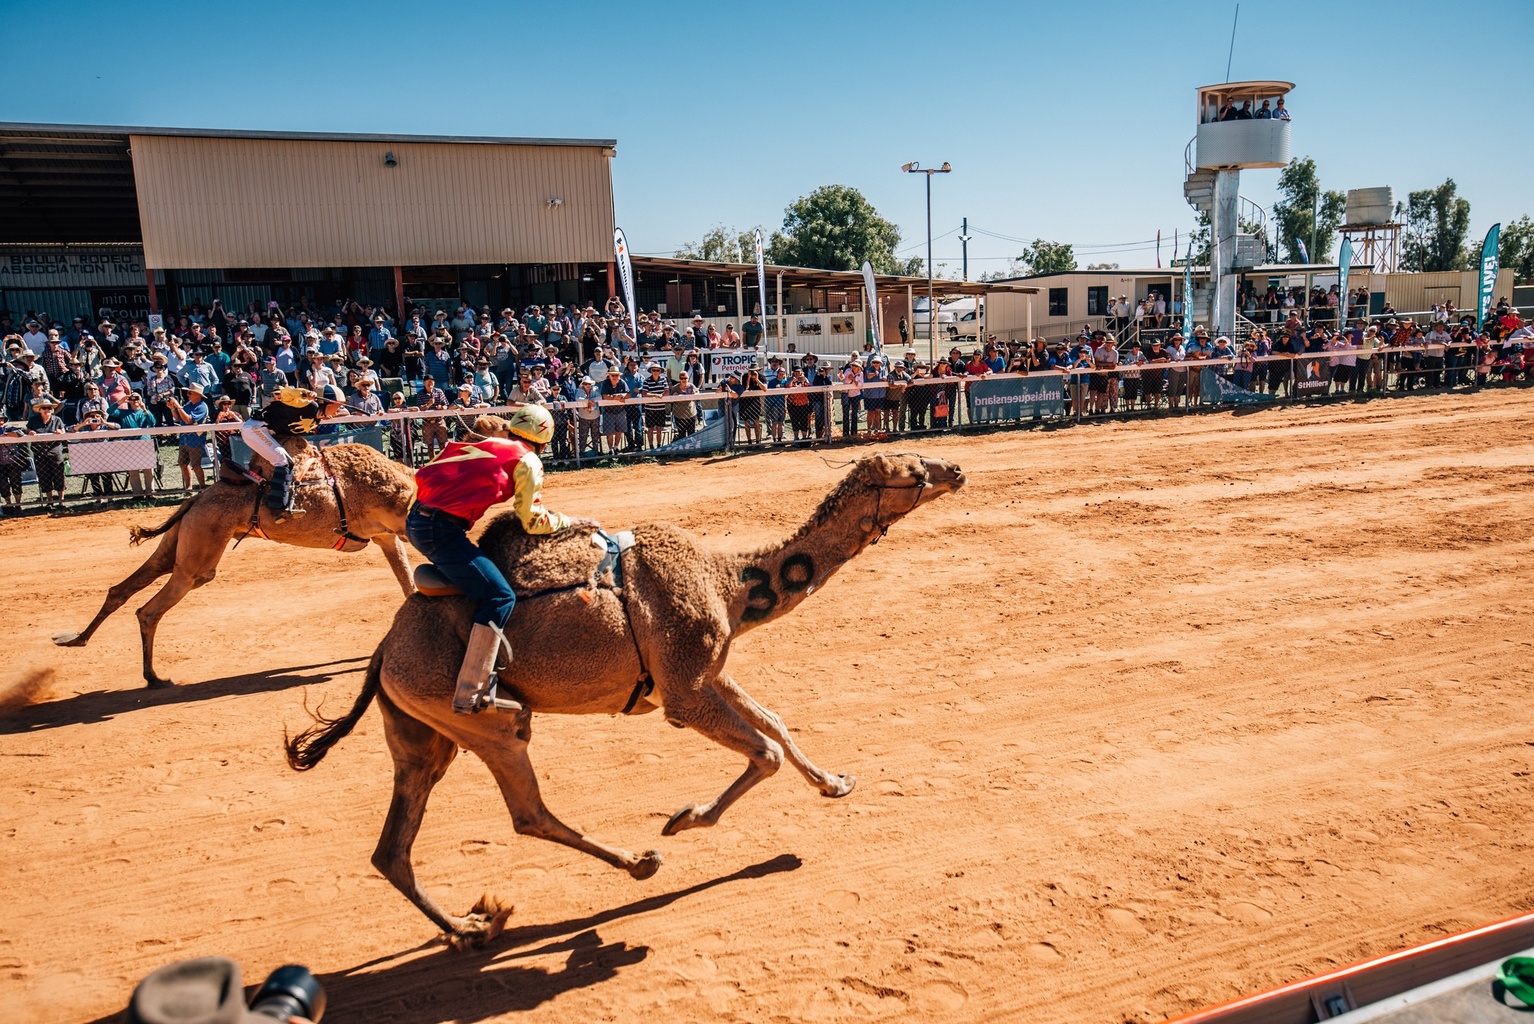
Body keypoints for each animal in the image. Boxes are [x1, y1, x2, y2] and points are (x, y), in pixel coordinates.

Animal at [53, 437, 419, 687]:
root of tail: (195, 498)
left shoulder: (386, 536)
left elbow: (408, 587)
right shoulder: (398, 524)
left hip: (181, 540)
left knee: (125, 587)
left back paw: (76, 639)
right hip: (201, 551)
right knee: (151, 608)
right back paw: (153, 676)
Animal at [285, 451, 965, 946]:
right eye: (911, 472)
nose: (955, 470)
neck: (729, 583)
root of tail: (383, 651)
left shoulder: (702, 672)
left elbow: (776, 723)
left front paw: (836, 784)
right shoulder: (684, 692)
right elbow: (766, 752)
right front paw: (685, 819)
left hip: (418, 730)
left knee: (394, 847)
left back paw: (471, 926)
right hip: (475, 719)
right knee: (525, 808)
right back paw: (637, 863)